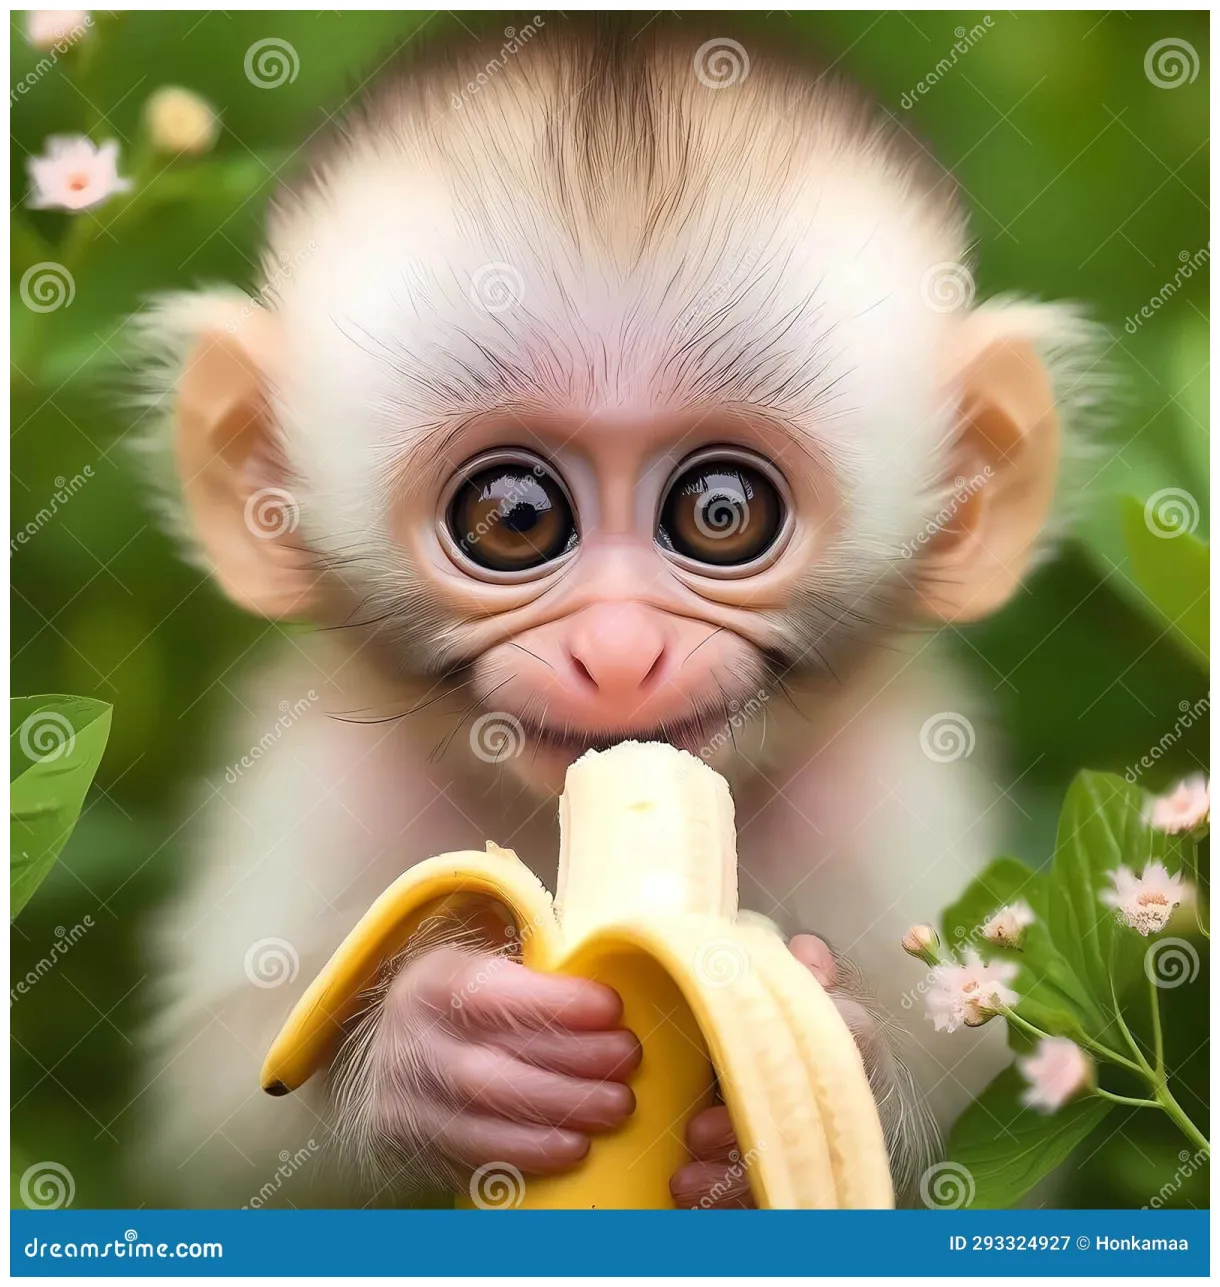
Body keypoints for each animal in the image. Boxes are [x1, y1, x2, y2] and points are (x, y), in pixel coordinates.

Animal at [129, 15, 1103, 1209]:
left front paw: (818, 1088)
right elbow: (218, 1137)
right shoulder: (323, 780)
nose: (620, 653)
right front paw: (440, 1057)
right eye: (513, 516)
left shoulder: (886, 790)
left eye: (721, 512)